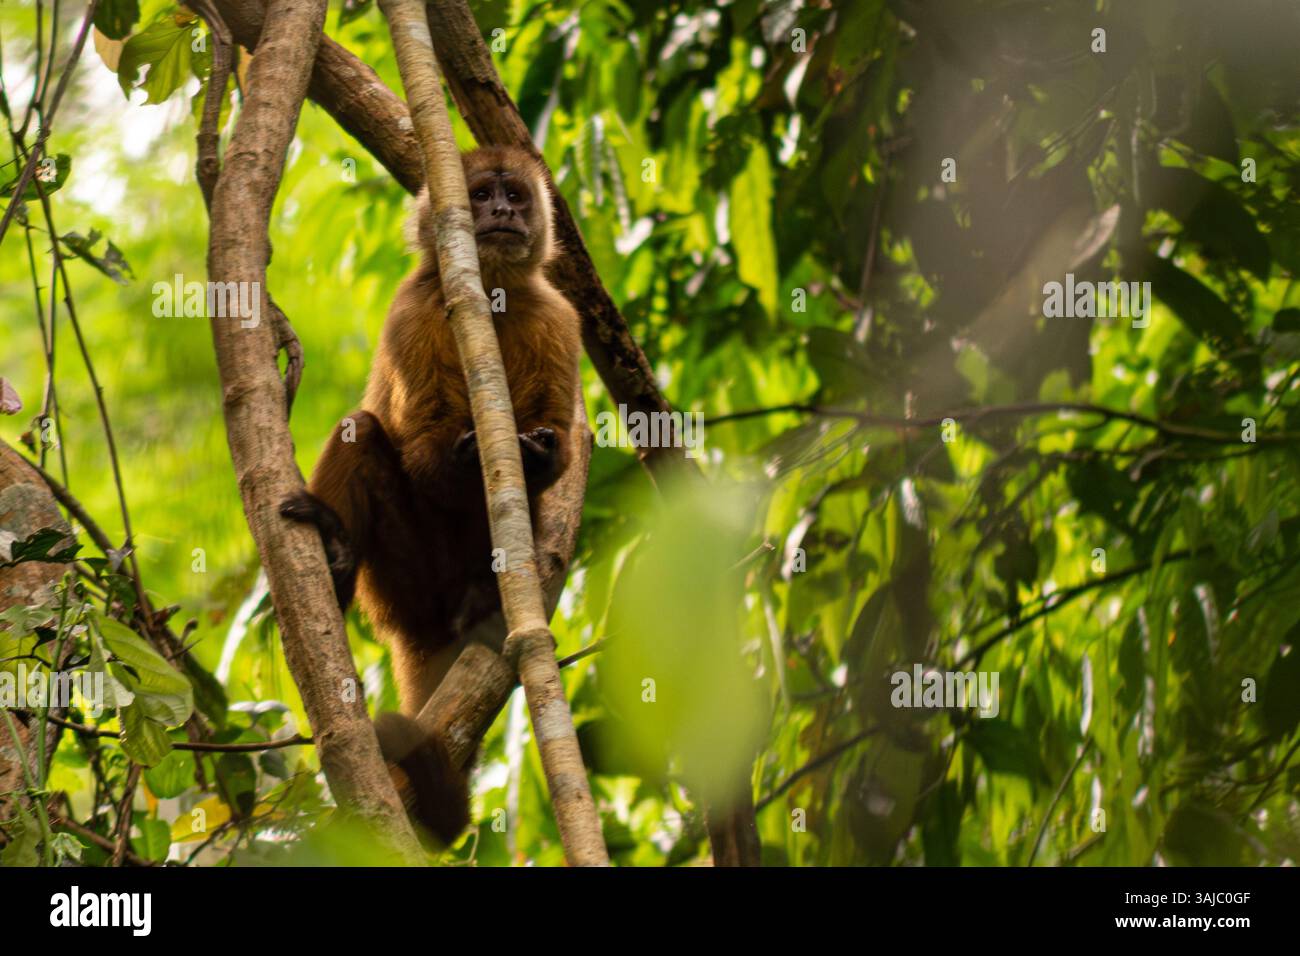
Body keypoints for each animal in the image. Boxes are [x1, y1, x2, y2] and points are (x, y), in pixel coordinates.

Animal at [281, 146, 582, 846]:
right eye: (480, 195)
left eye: (514, 197)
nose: (501, 213)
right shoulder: (414, 307)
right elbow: (418, 446)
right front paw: (466, 454)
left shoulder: (557, 317)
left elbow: (556, 453)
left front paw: (540, 454)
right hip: (401, 586)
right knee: (362, 428)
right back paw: (335, 552)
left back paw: (482, 597)